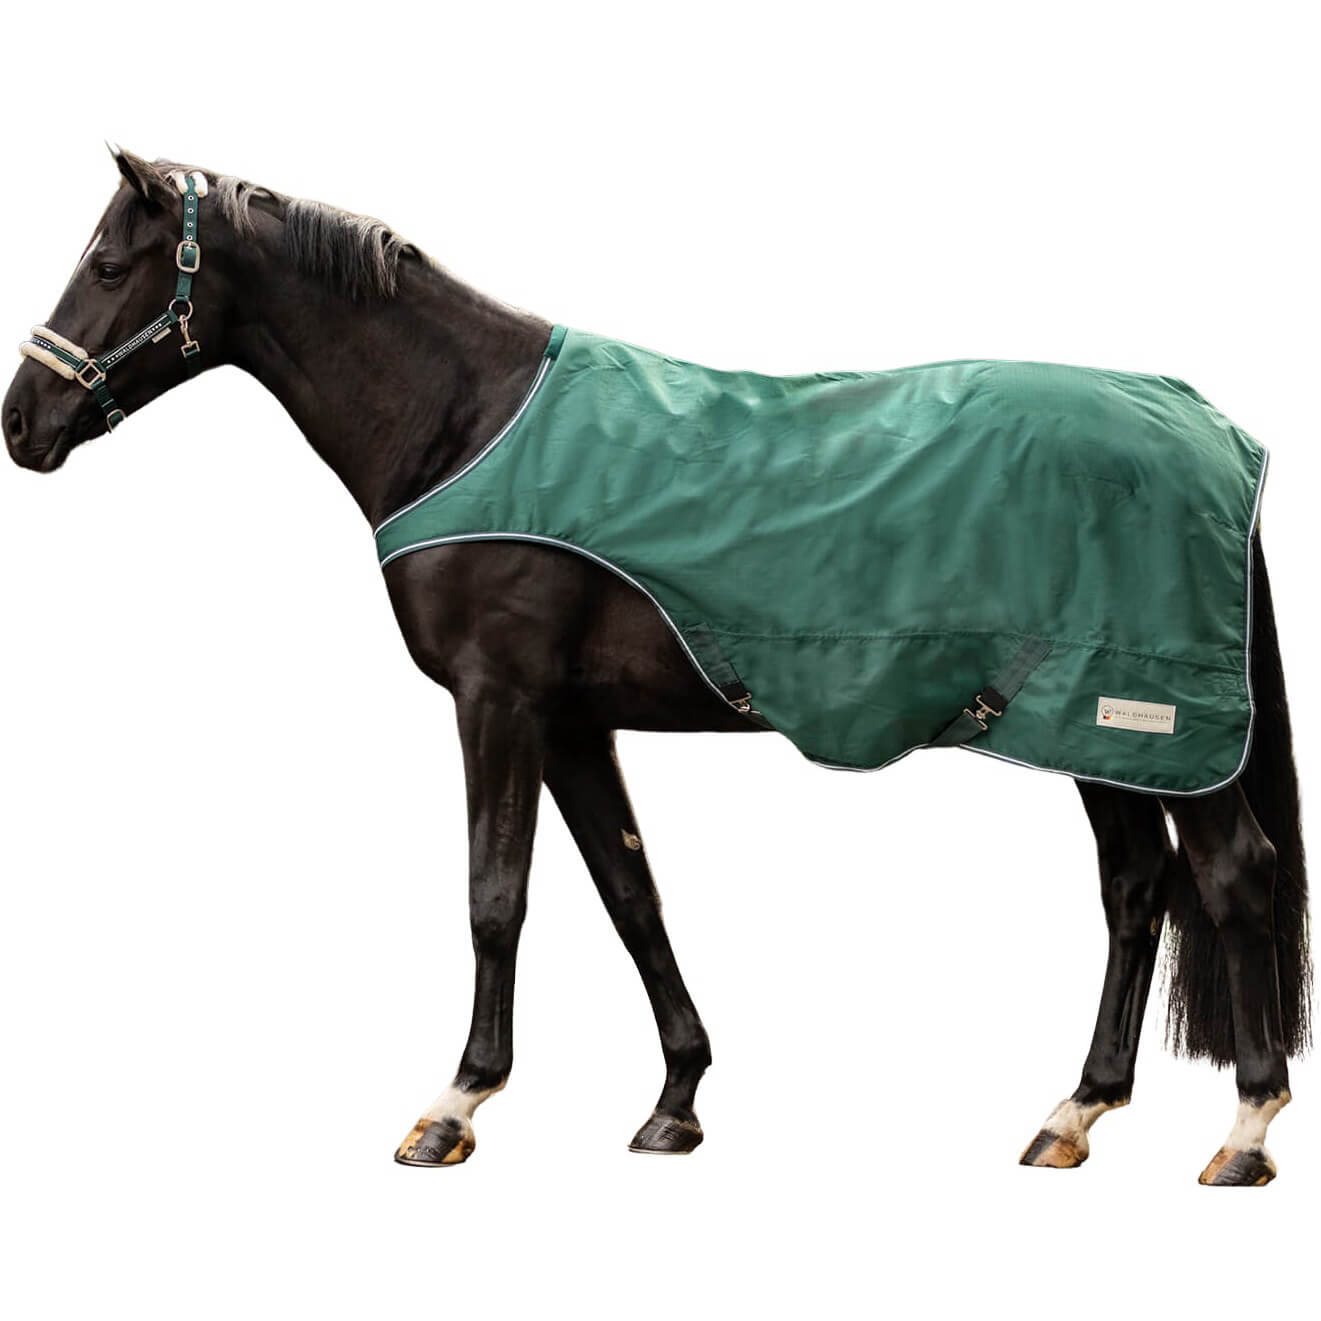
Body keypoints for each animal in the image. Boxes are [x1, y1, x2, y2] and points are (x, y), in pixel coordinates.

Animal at [4, 147, 1310, 1184]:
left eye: (108, 267)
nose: (23, 424)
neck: (467, 421)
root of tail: (1212, 432)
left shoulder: (499, 702)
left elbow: (495, 896)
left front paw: (454, 1105)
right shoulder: (573, 721)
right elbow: (629, 894)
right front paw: (676, 1101)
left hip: (1142, 726)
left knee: (1229, 875)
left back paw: (1244, 1130)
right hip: (1086, 730)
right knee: (1134, 889)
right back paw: (1074, 1114)